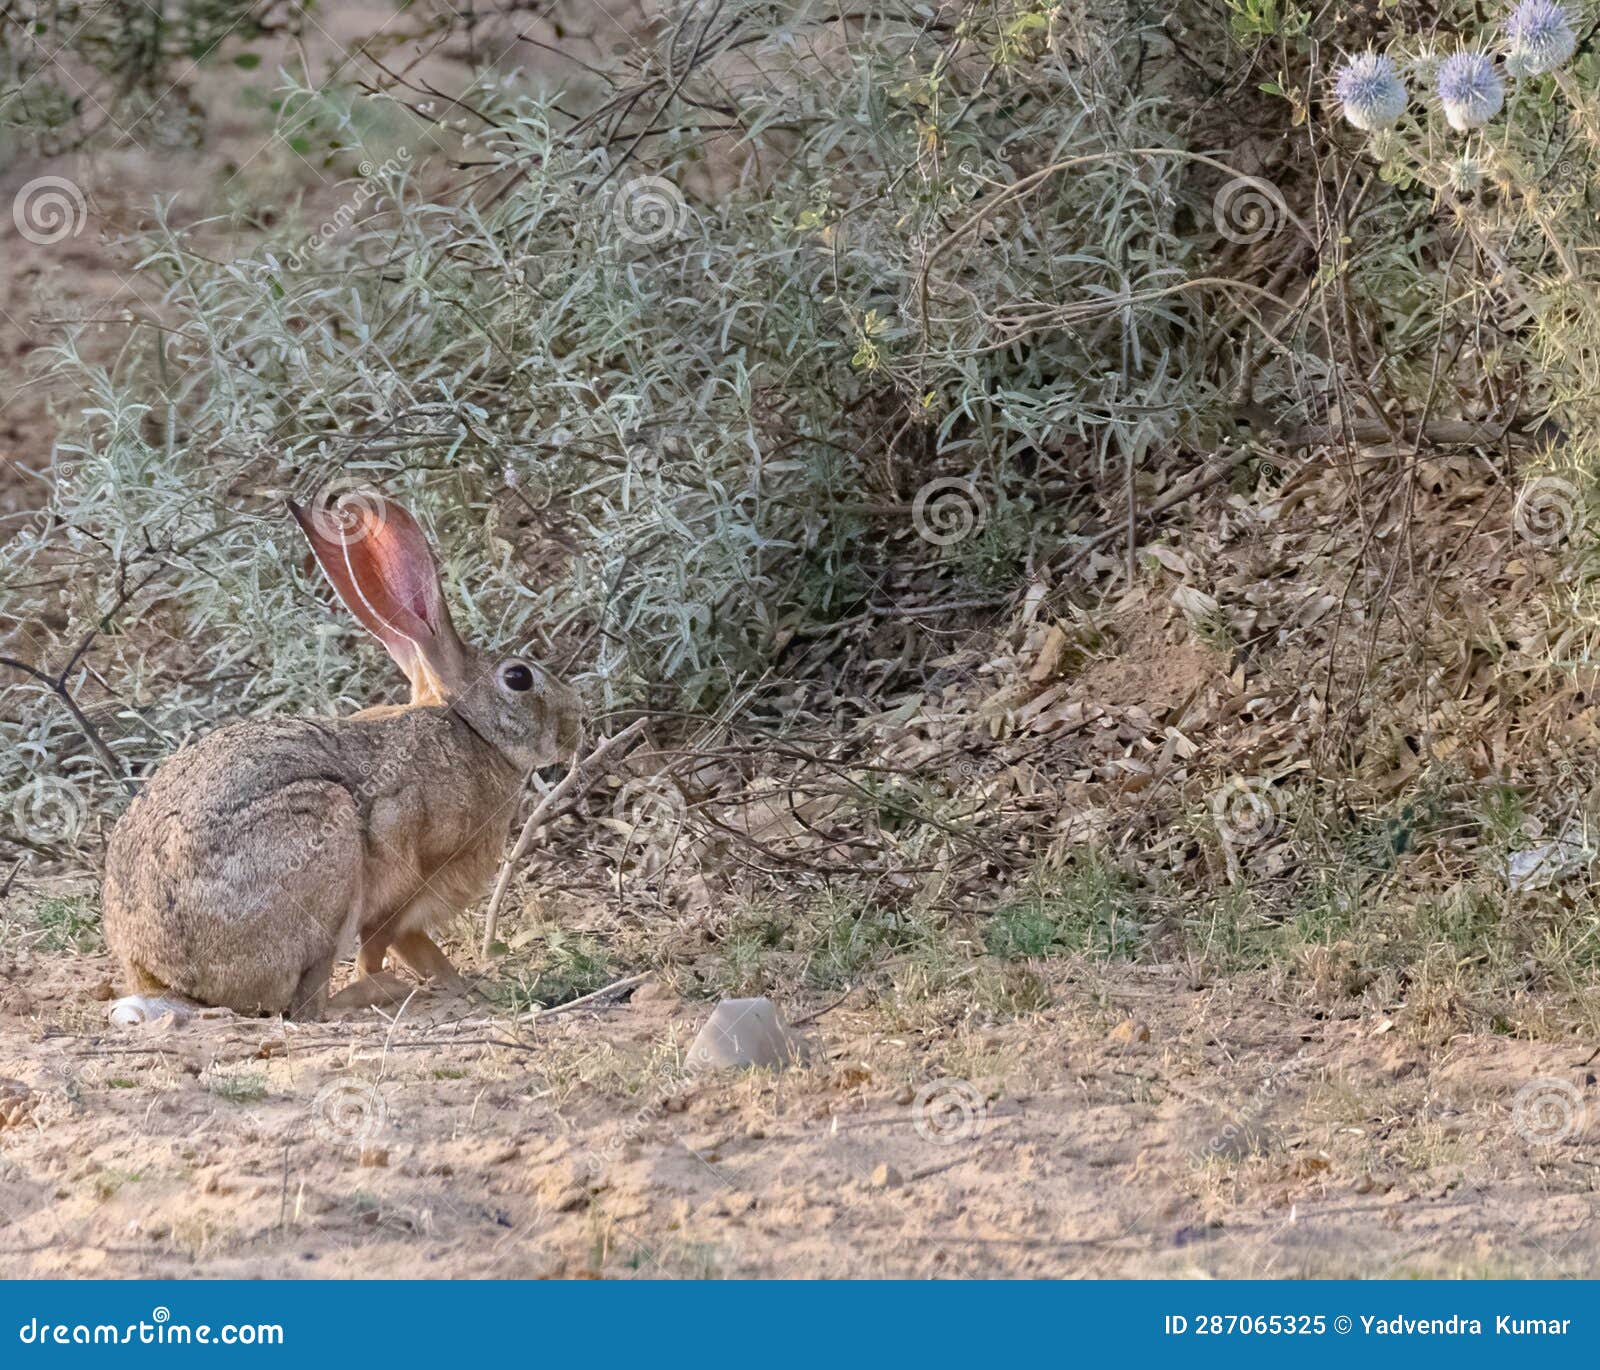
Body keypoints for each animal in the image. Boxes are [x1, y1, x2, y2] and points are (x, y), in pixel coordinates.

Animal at [102, 491, 582, 1021]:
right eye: (518, 678)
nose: (577, 720)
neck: (469, 728)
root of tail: (164, 980)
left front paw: (458, 981)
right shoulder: (408, 877)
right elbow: (389, 941)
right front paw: (448, 984)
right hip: (321, 851)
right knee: (305, 1007)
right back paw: (380, 991)